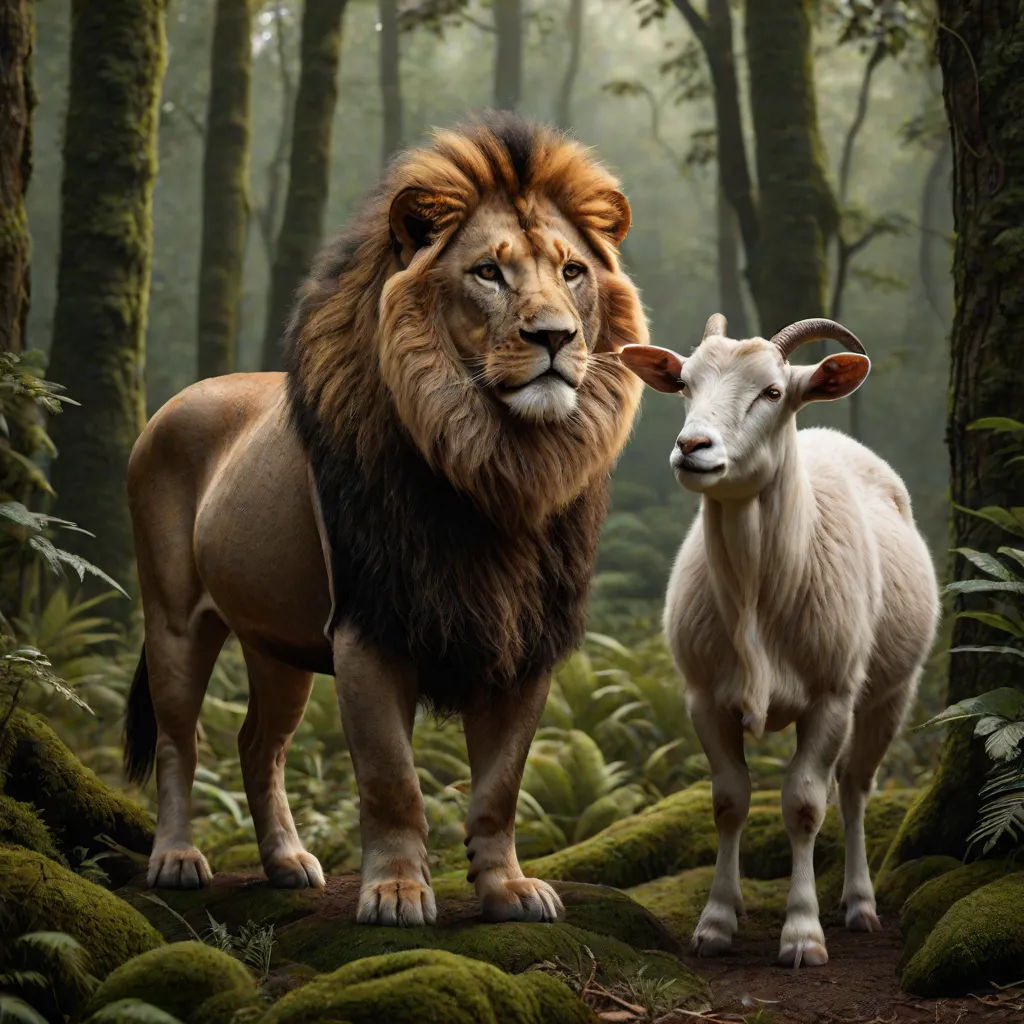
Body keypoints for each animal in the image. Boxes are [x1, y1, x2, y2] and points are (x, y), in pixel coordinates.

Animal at [123, 112, 648, 926]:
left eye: (571, 272)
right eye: (488, 273)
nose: (555, 337)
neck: (500, 462)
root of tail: (170, 405)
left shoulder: (526, 641)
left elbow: (501, 784)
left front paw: (508, 889)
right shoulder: (370, 627)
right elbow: (391, 777)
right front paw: (397, 893)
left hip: (276, 643)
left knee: (258, 742)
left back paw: (287, 863)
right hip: (176, 619)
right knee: (182, 742)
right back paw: (177, 859)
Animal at [619, 315, 938, 967]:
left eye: (771, 391)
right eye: (685, 383)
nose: (693, 447)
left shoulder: (832, 697)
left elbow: (804, 805)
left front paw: (803, 933)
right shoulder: (704, 697)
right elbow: (729, 801)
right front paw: (716, 921)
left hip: (891, 692)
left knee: (855, 787)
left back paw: (859, 903)